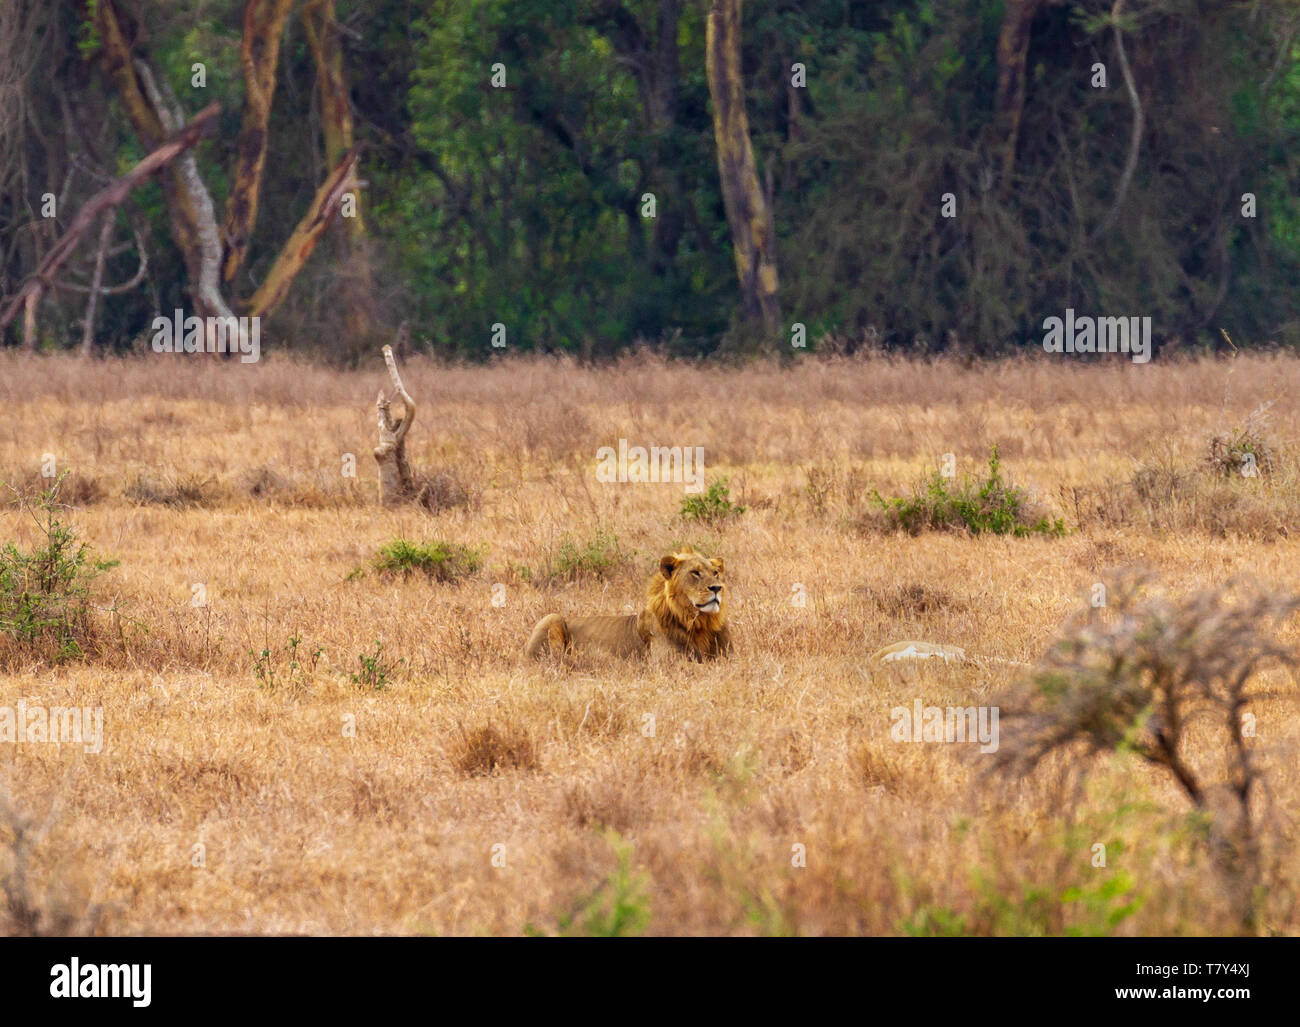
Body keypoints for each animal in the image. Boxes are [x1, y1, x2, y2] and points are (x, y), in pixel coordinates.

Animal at [524, 549, 731, 661]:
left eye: (715, 573)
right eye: (695, 572)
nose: (717, 588)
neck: (700, 623)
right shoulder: (667, 663)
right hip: (551, 618)